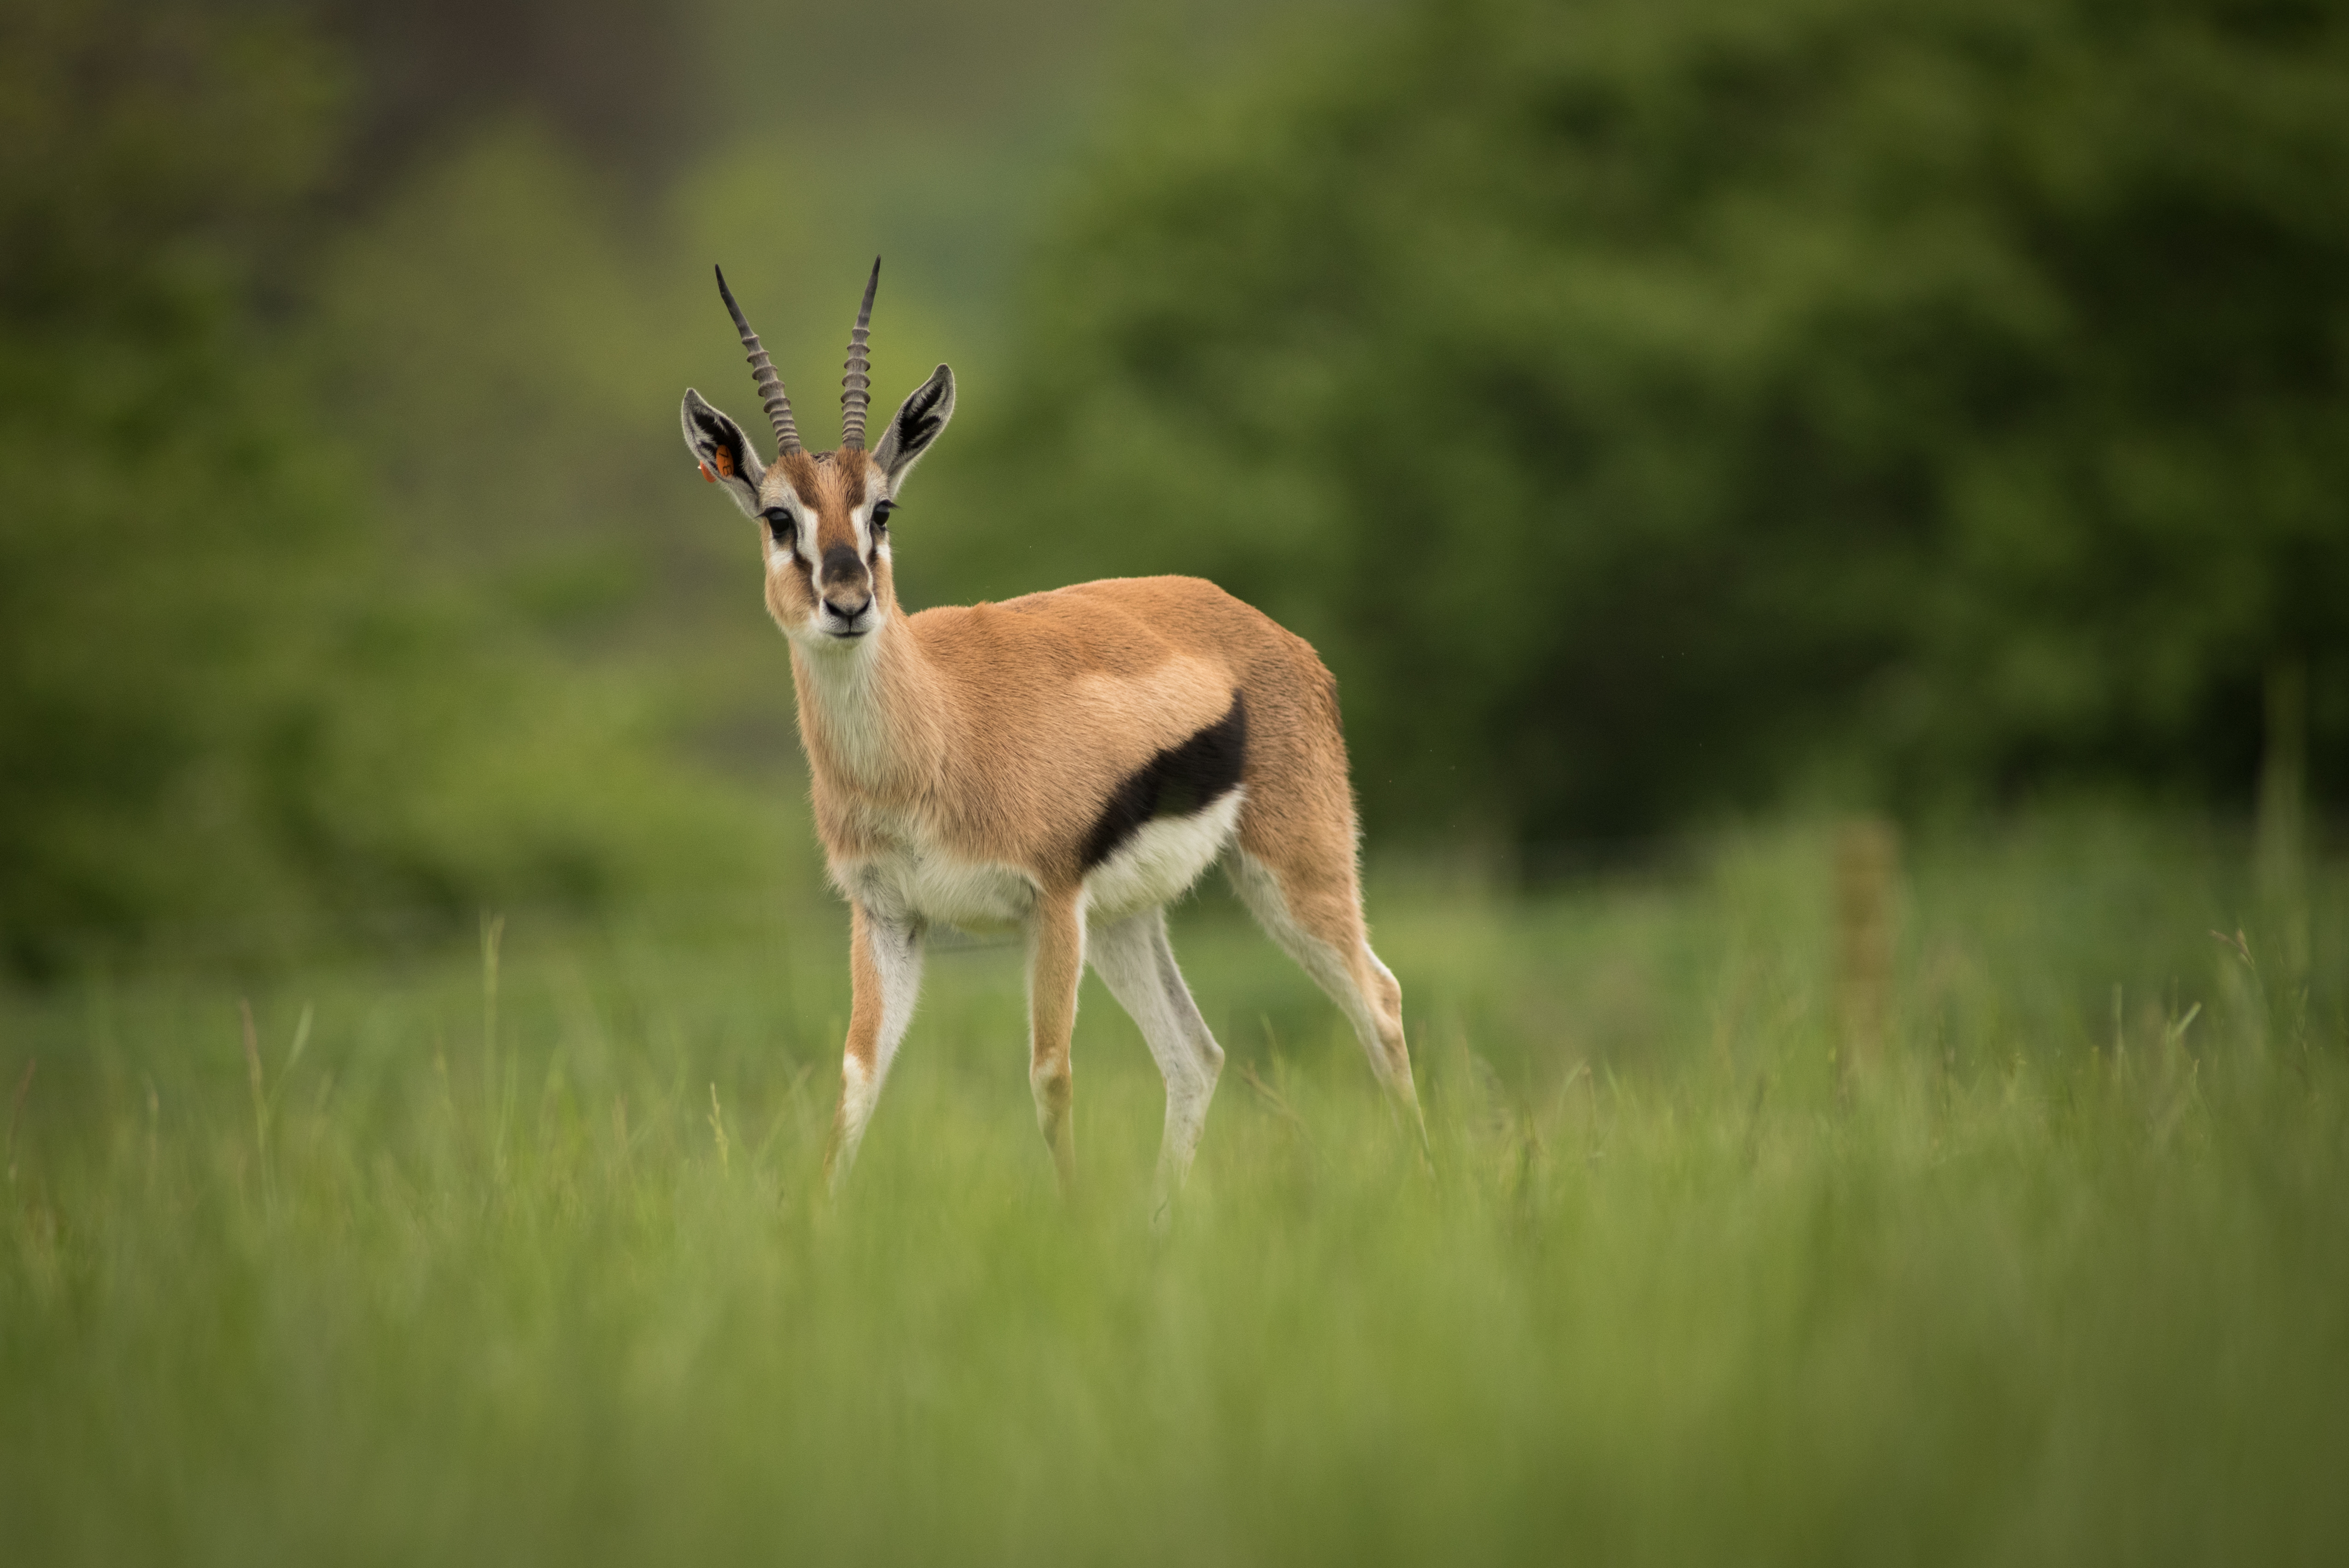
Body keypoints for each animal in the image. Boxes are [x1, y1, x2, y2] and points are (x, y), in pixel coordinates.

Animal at [679, 260, 1427, 1213]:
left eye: (881, 510)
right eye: (780, 519)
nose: (848, 604)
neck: (937, 734)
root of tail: (1275, 635)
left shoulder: (1052, 902)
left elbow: (1050, 1077)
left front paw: (1072, 1223)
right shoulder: (886, 916)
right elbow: (854, 1084)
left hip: (1289, 871)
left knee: (1380, 1001)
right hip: (1128, 921)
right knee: (1197, 1054)